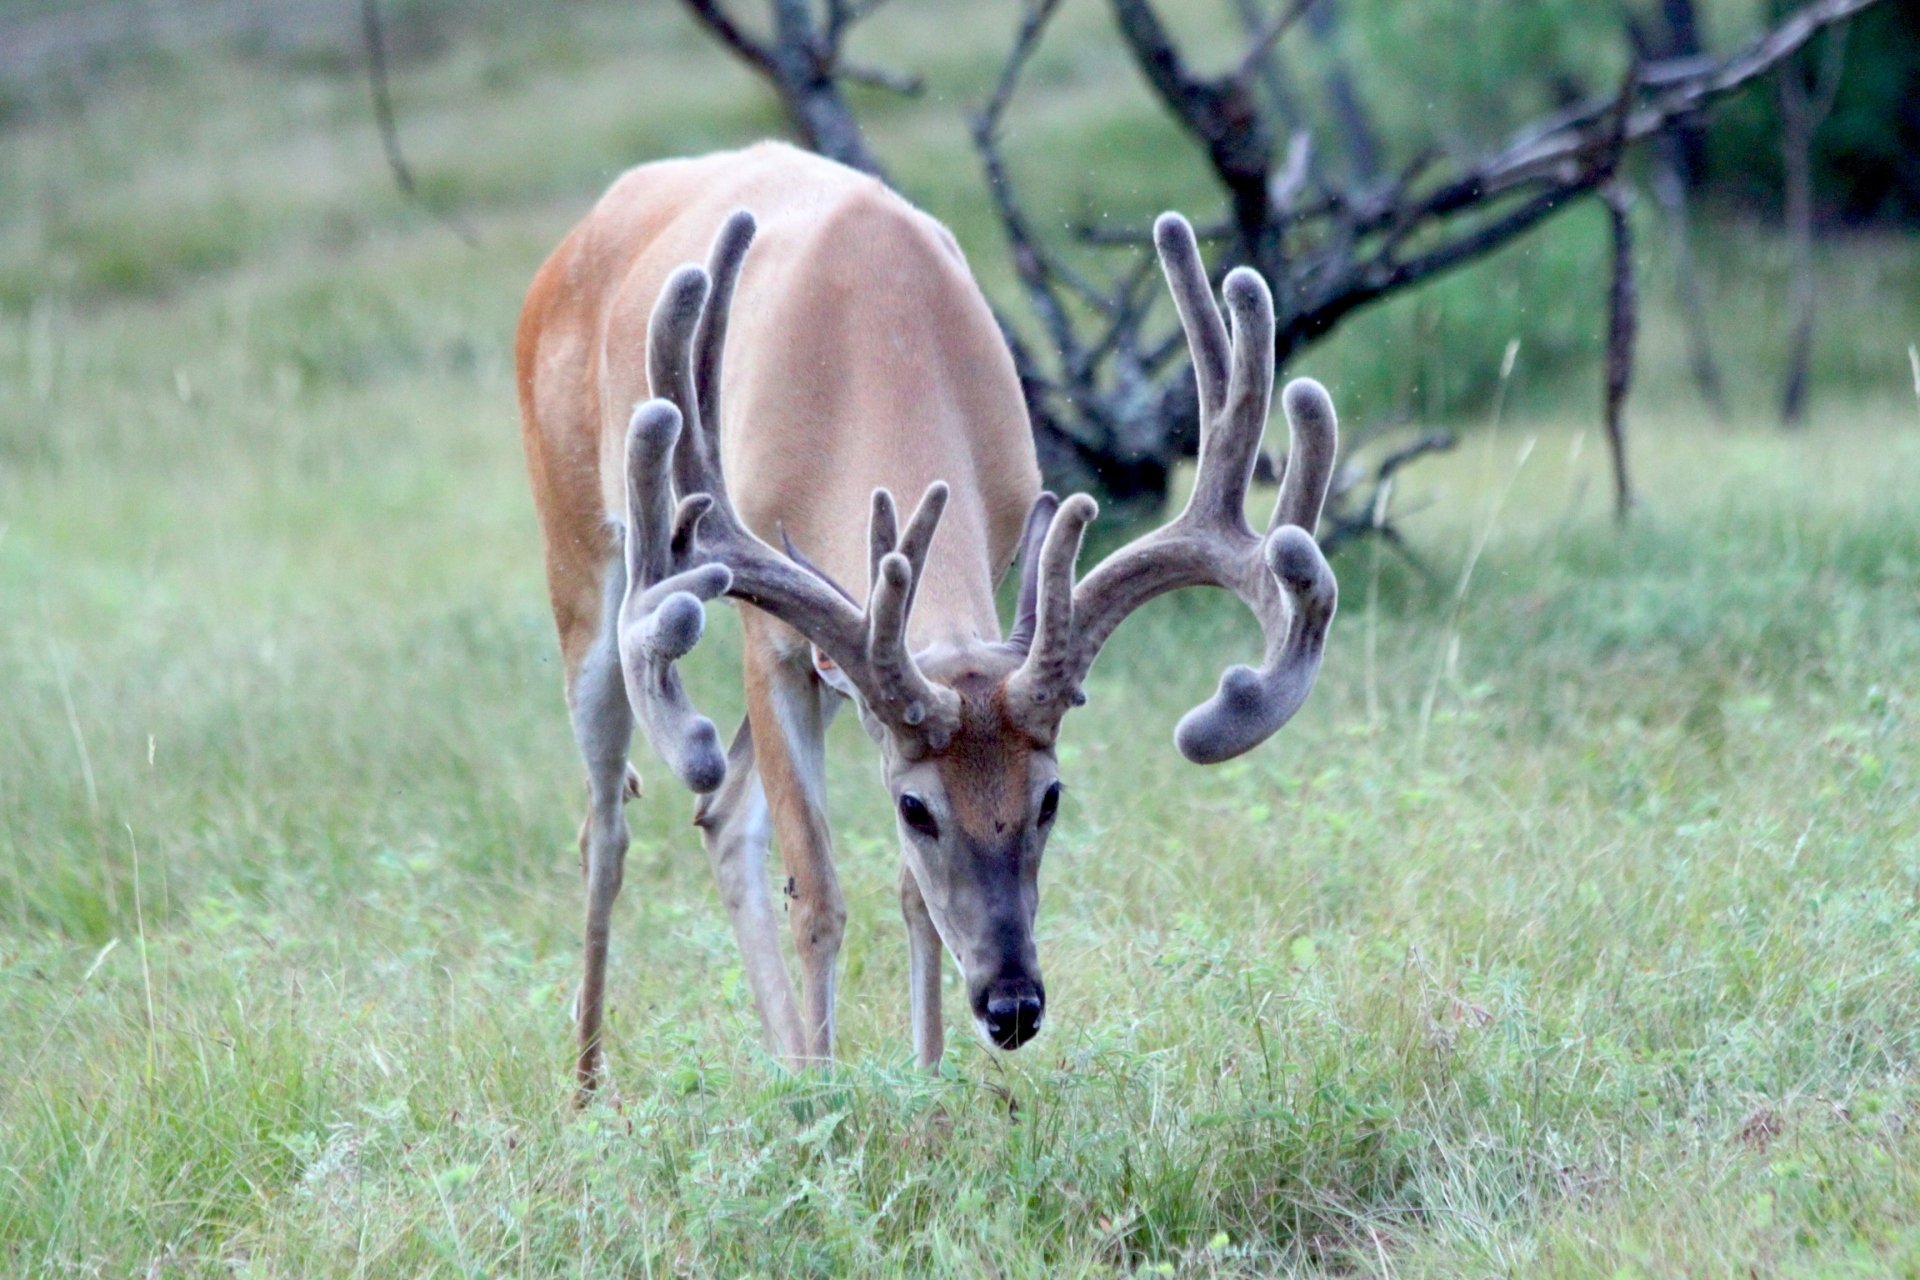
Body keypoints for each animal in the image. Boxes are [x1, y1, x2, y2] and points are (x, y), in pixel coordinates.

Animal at [515, 142, 1338, 1091]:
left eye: (1050, 796)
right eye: (916, 810)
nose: (1013, 1006)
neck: (878, 348)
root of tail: (572, 240)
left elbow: (914, 899)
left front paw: (930, 1080)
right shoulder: (772, 638)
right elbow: (819, 894)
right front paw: (833, 1099)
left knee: (719, 814)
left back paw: (786, 1064)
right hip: (583, 559)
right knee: (606, 827)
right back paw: (591, 1086)